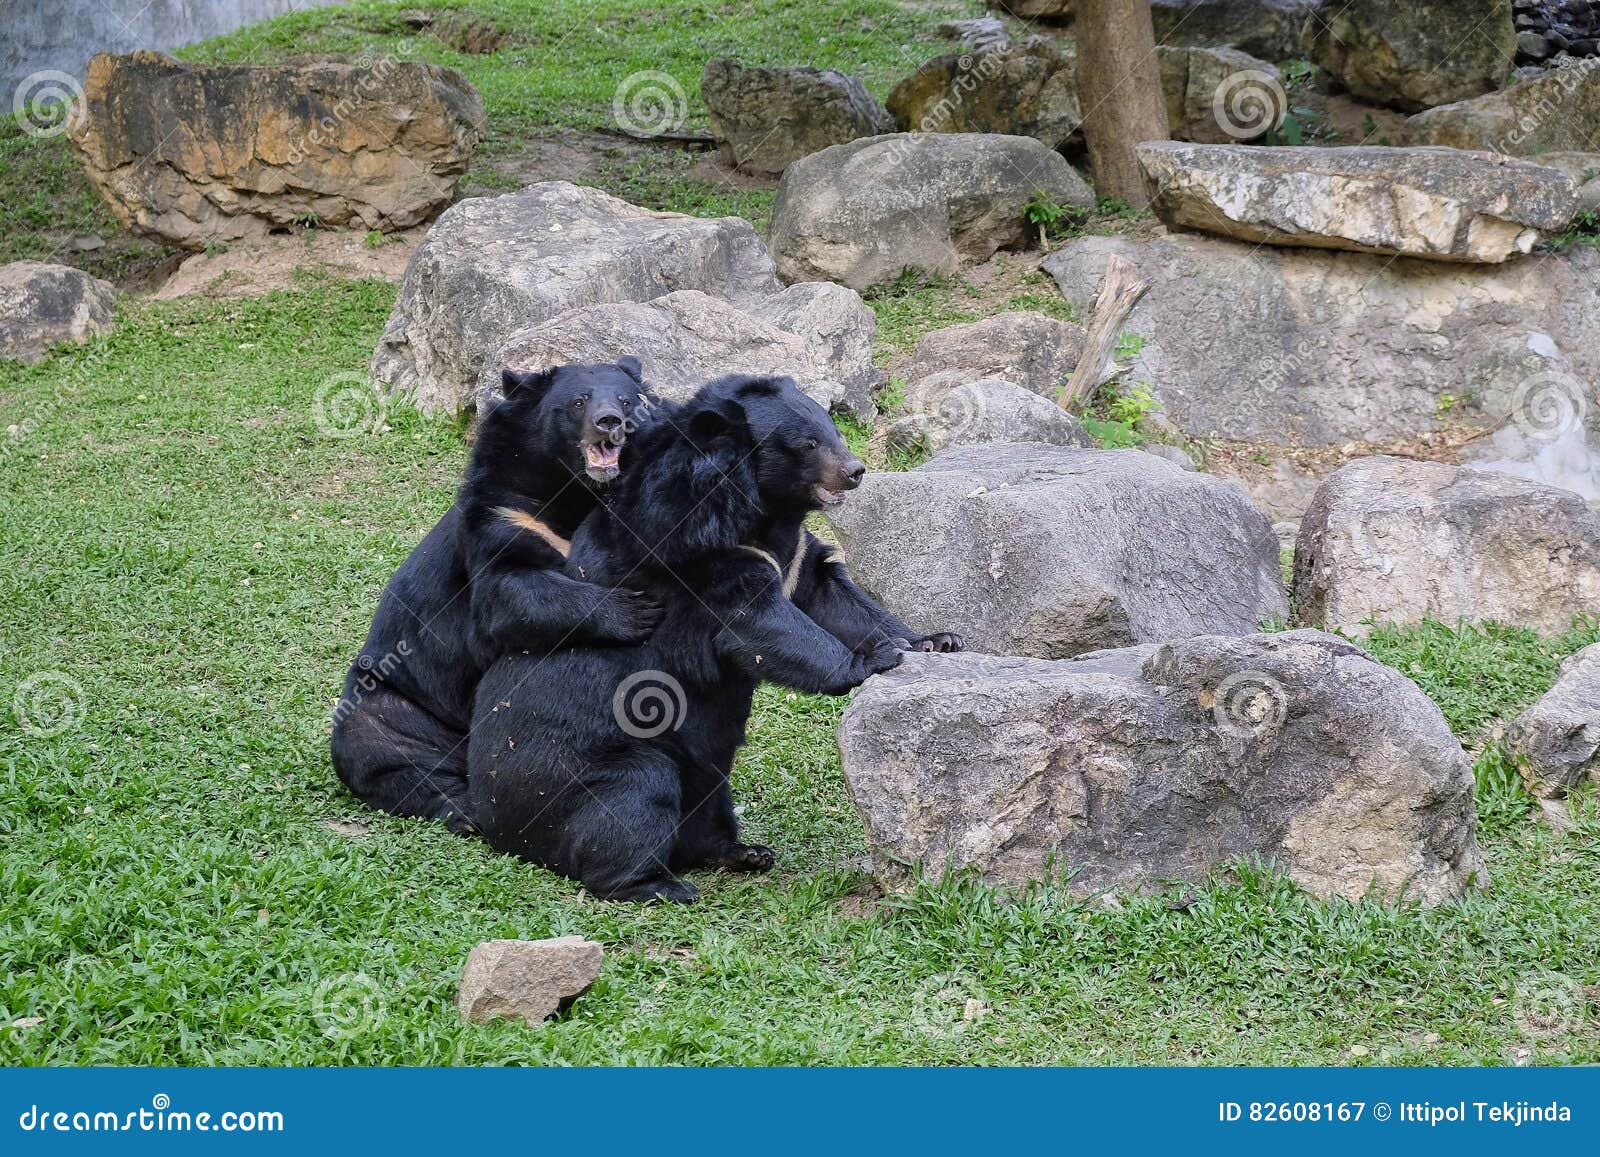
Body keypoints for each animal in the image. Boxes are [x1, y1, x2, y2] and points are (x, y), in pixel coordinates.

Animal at [331, 359, 664, 834]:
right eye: (579, 402)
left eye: (627, 399)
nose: (610, 423)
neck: (574, 490)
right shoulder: (501, 515)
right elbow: (508, 593)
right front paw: (635, 610)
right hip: (392, 704)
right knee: (384, 755)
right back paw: (461, 810)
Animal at [467, 373, 963, 902]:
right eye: (808, 444)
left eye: (834, 432)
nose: (855, 471)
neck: (761, 512)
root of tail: (494, 817)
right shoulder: (695, 558)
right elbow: (759, 621)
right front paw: (873, 659)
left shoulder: (794, 555)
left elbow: (833, 594)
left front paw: (933, 641)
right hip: (587, 764)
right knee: (631, 801)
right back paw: (660, 884)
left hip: (698, 766)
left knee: (706, 791)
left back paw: (742, 852)